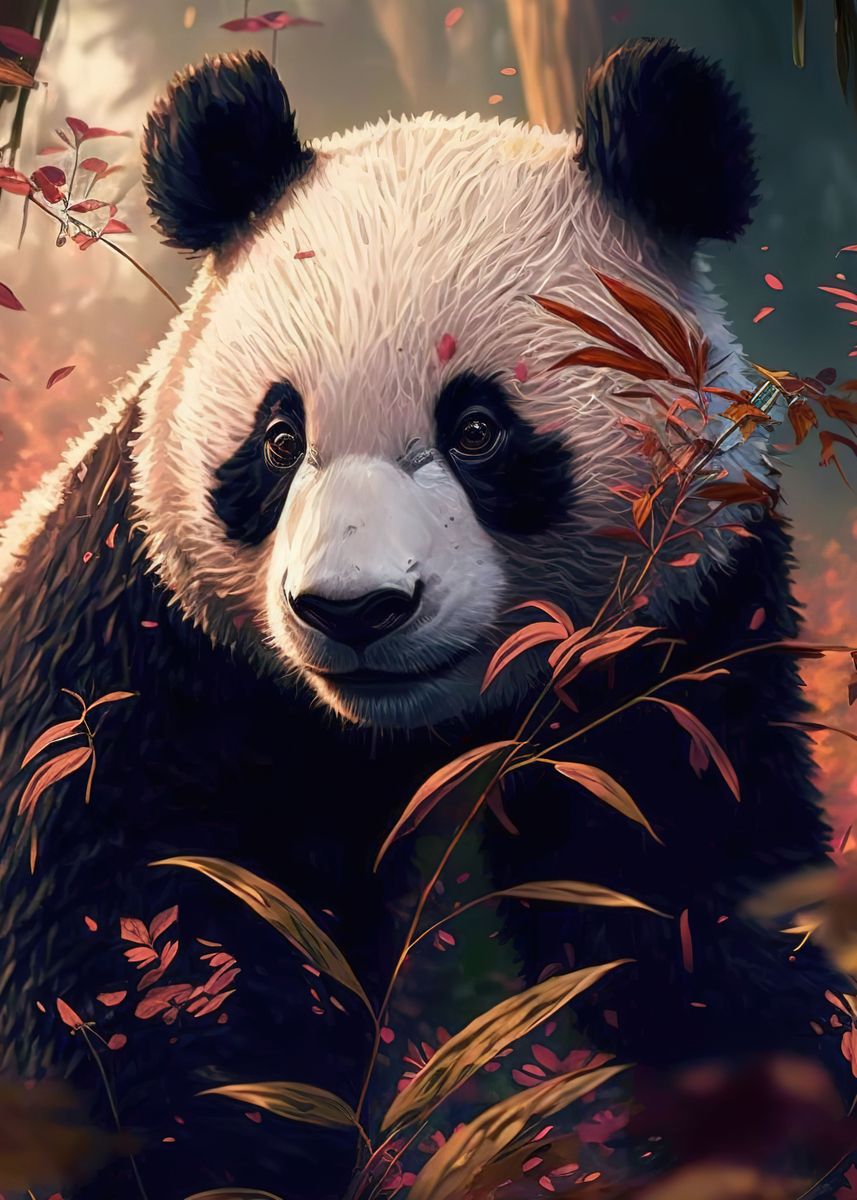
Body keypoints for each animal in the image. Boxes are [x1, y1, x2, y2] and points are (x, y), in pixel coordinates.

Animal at [0, 38, 849, 1200]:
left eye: (478, 429)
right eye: (277, 438)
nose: (353, 609)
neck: (406, 737)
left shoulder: (680, 639)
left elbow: (691, 904)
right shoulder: (139, 655)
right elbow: (141, 962)